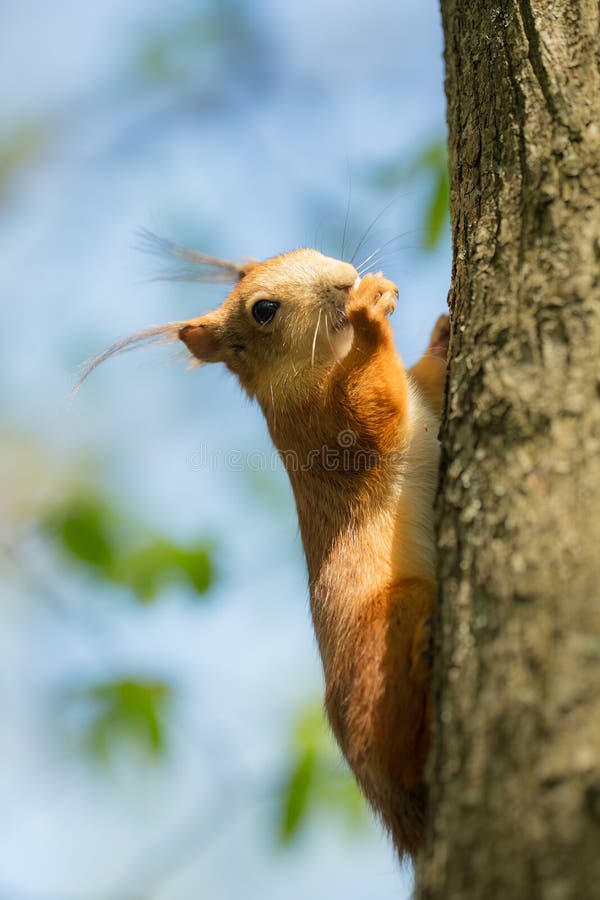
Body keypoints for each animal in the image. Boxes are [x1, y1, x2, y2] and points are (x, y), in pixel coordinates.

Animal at [79, 244, 450, 861]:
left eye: (307, 252)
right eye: (264, 310)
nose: (344, 278)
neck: (321, 362)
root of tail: (399, 817)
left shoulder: (421, 391)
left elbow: (431, 380)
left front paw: (442, 331)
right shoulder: (323, 431)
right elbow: (372, 409)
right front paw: (370, 311)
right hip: (382, 644)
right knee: (401, 751)